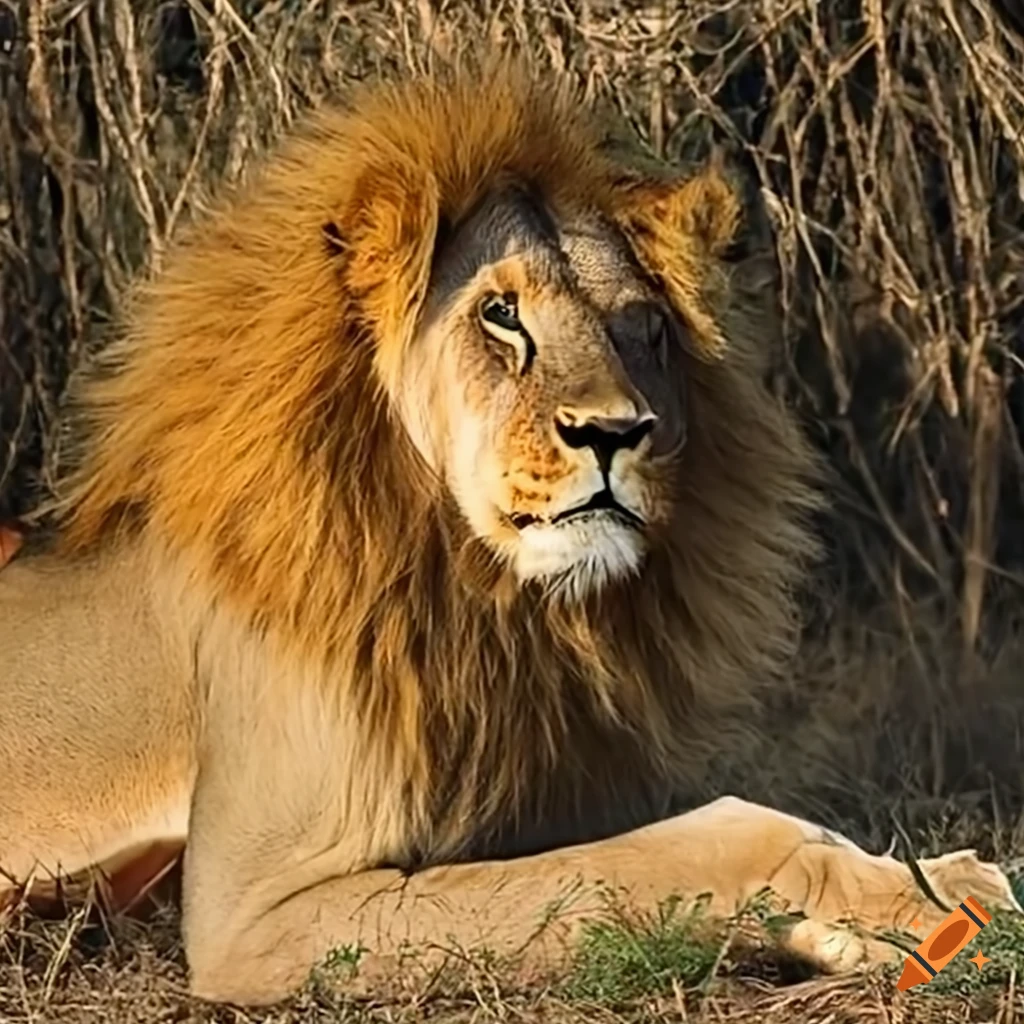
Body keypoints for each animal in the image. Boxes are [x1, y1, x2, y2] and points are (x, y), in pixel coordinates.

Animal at [0, 59, 1018, 1006]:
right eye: (500, 314)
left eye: (641, 324)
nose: (614, 432)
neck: (486, 592)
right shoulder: (255, 910)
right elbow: (714, 836)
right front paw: (917, 905)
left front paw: (922, 887)